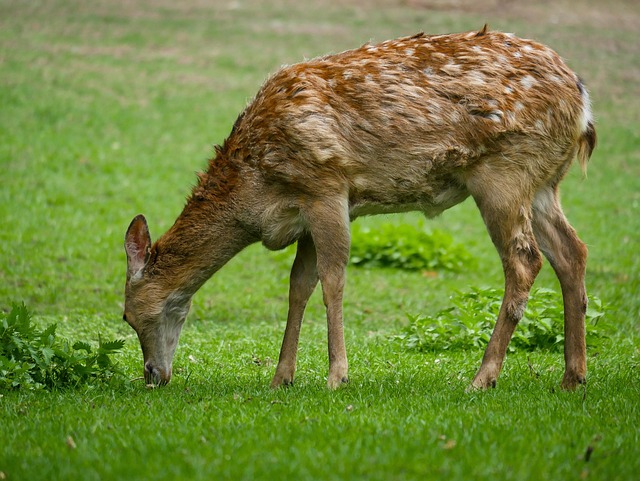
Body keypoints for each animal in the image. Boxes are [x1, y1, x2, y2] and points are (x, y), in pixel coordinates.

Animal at [123, 26, 596, 391]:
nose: (151, 375)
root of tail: (583, 105)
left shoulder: (326, 187)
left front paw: (337, 376)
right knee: (572, 252)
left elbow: (333, 279)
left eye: (128, 315)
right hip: (543, 183)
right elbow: (299, 285)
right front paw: (281, 378)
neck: (254, 191)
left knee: (524, 260)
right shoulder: (305, 211)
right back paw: (572, 377)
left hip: (505, 173)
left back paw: (483, 378)